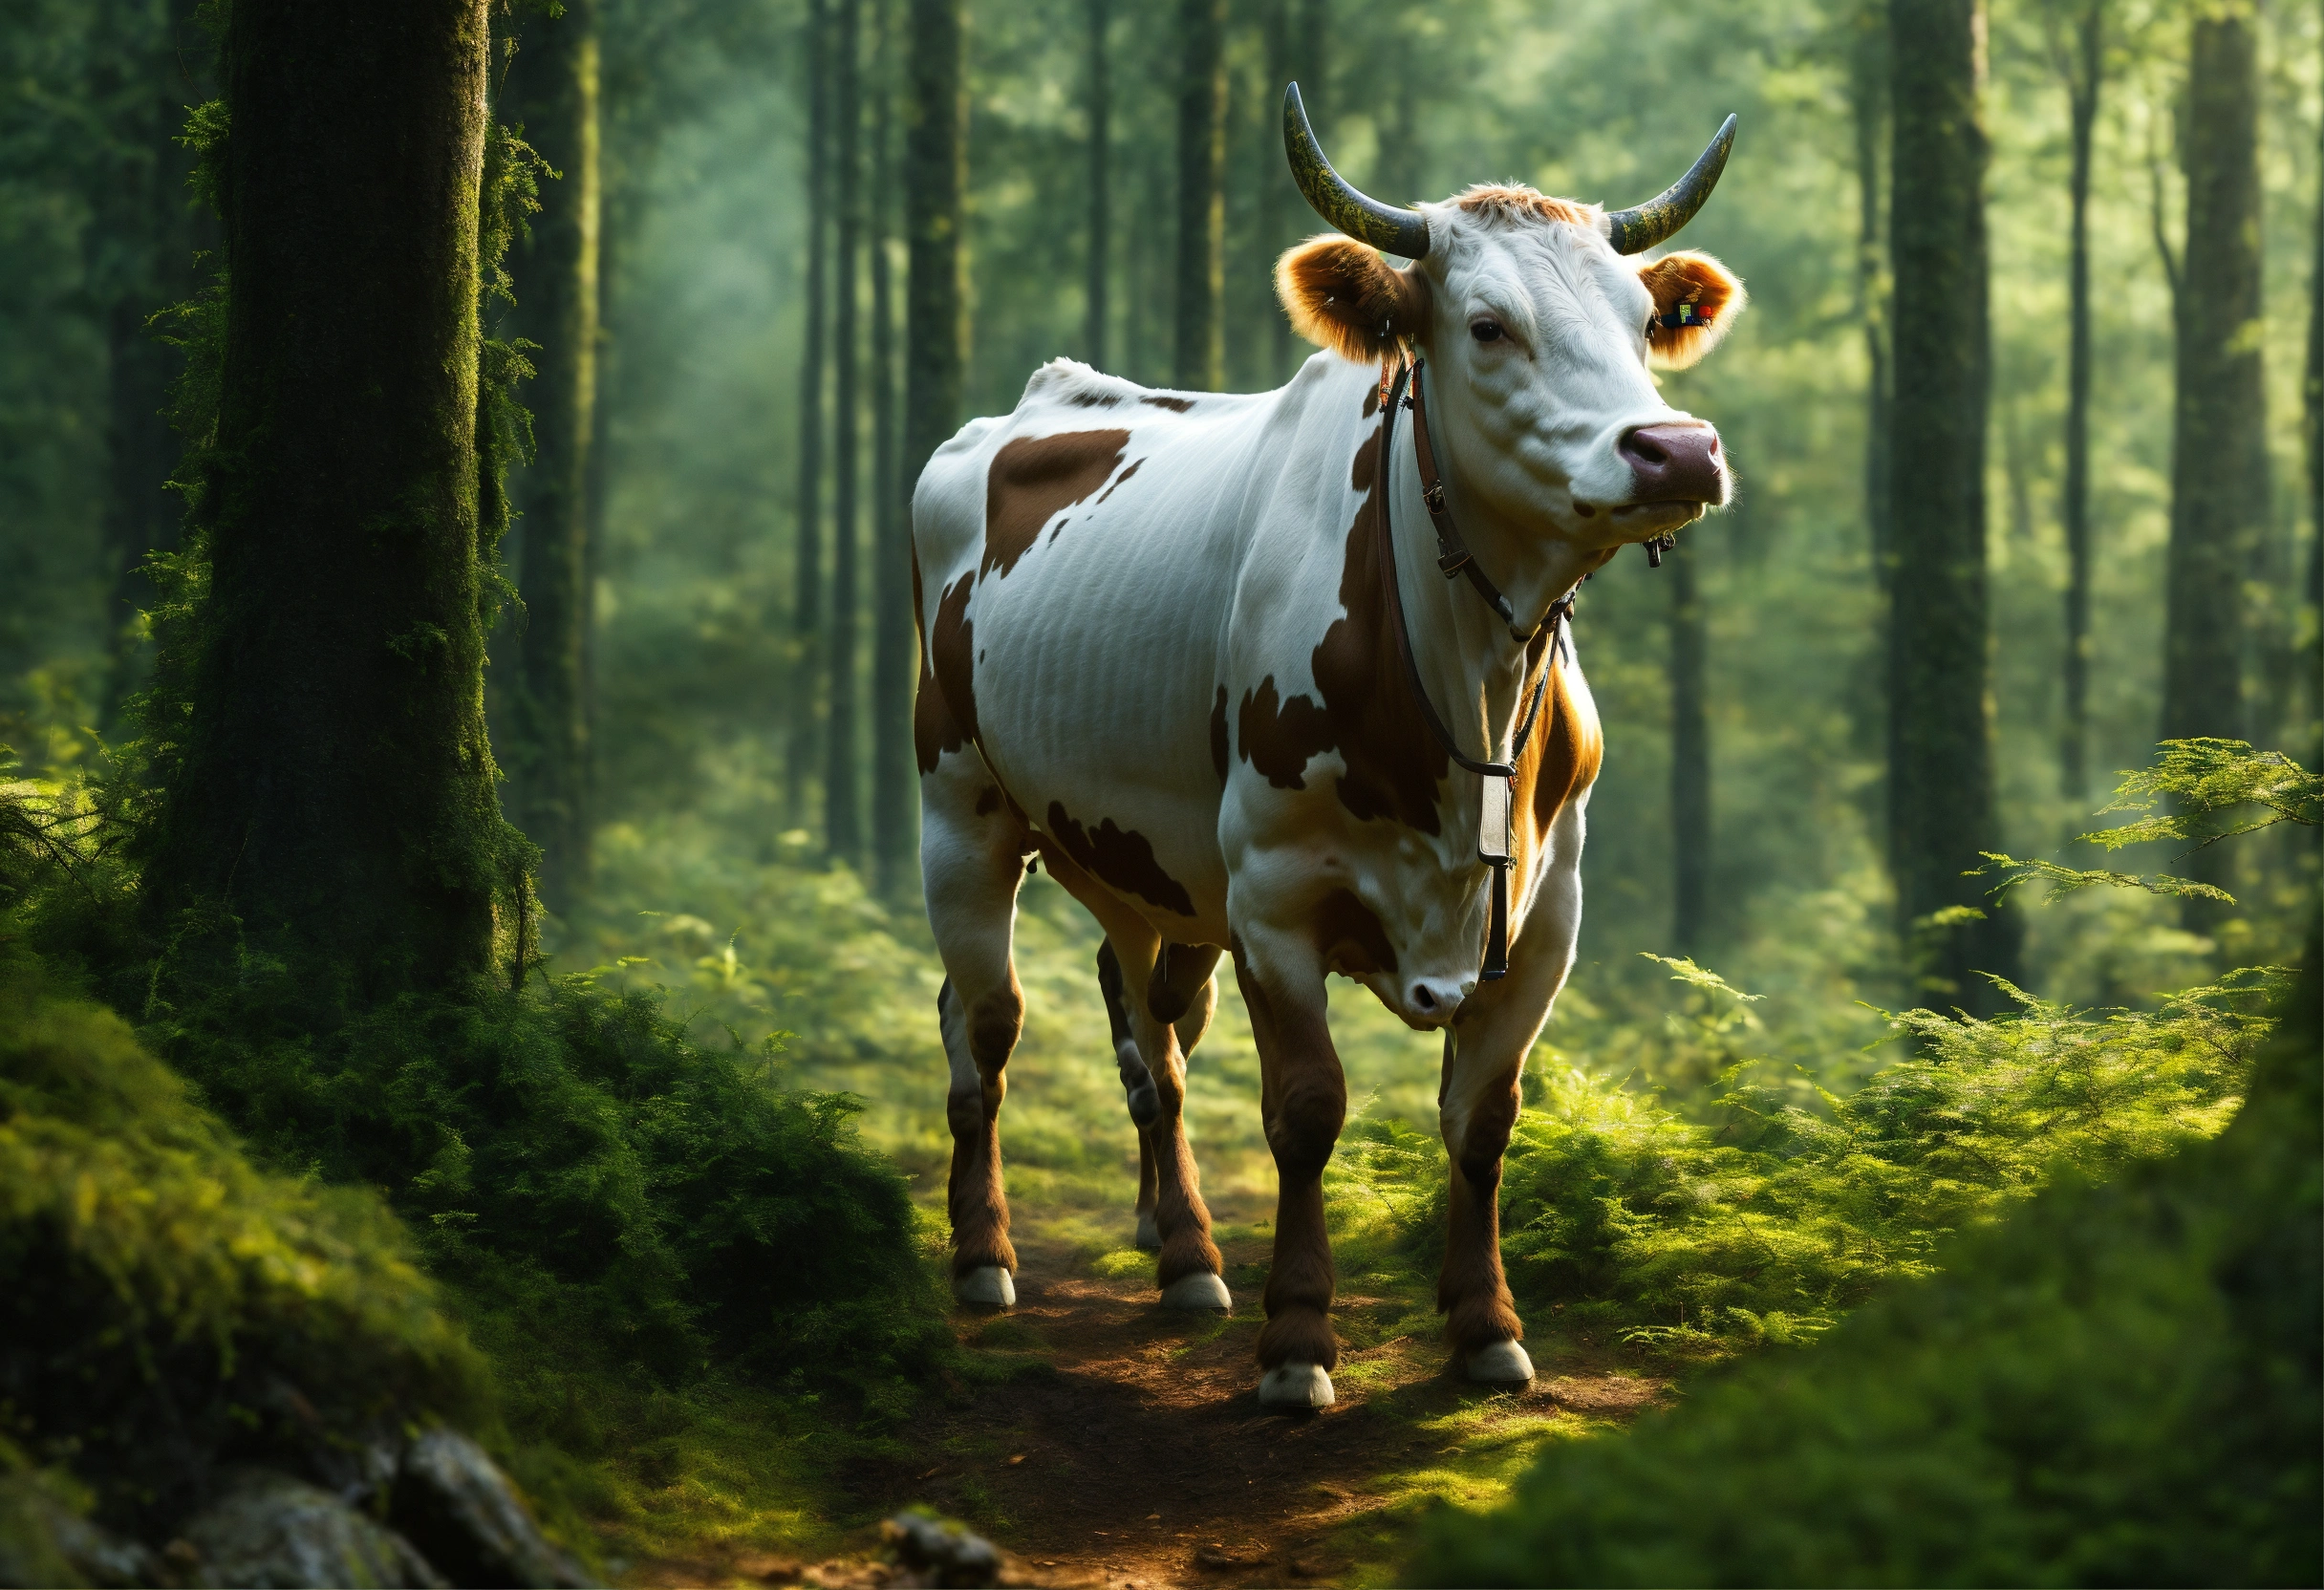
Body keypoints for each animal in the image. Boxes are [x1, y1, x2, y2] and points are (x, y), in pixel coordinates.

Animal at [911, 86, 1746, 1408]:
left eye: (1640, 322)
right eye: (1486, 325)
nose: (1675, 450)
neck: (1462, 677)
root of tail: (1044, 400)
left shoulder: (1546, 912)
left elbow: (1481, 1120)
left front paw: (1484, 1326)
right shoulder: (1274, 899)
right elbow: (1305, 1111)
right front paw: (1297, 1338)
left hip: (1141, 861)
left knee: (1150, 1032)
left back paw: (1186, 1256)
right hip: (961, 807)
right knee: (984, 1022)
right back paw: (983, 1252)